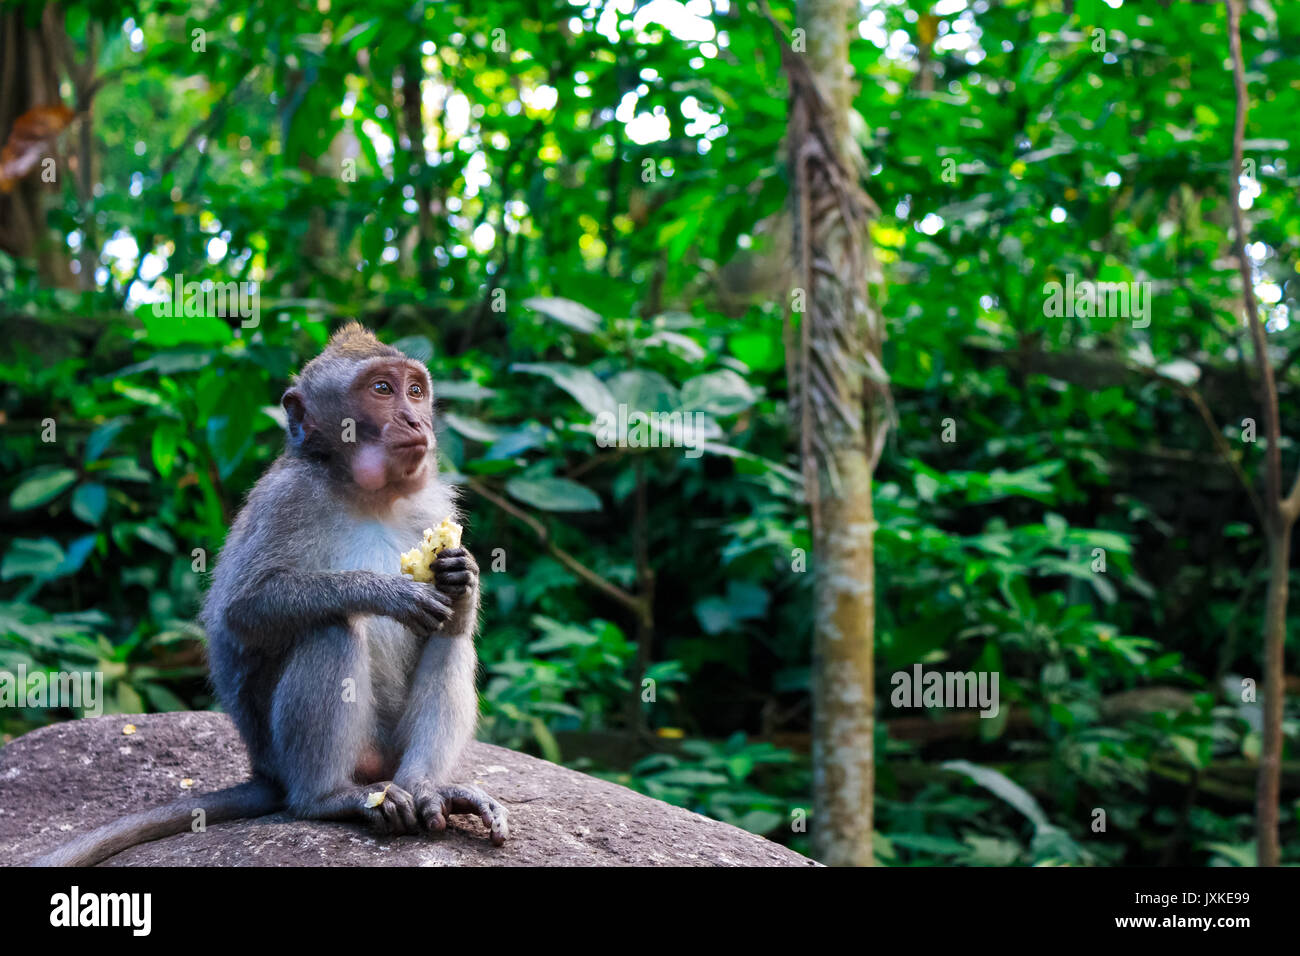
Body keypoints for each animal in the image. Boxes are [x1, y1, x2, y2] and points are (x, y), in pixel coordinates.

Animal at [32, 323, 507, 866]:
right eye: (383, 389)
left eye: (415, 390)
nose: (415, 419)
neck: (371, 496)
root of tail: (265, 770)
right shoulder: (286, 500)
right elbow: (242, 612)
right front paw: (384, 591)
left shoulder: (434, 503)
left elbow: (452, 613)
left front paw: (461, 575)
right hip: (294, 754)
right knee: (331, 628)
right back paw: (327, 798)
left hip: (391, 754)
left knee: (449, 640)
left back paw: (427, 788)